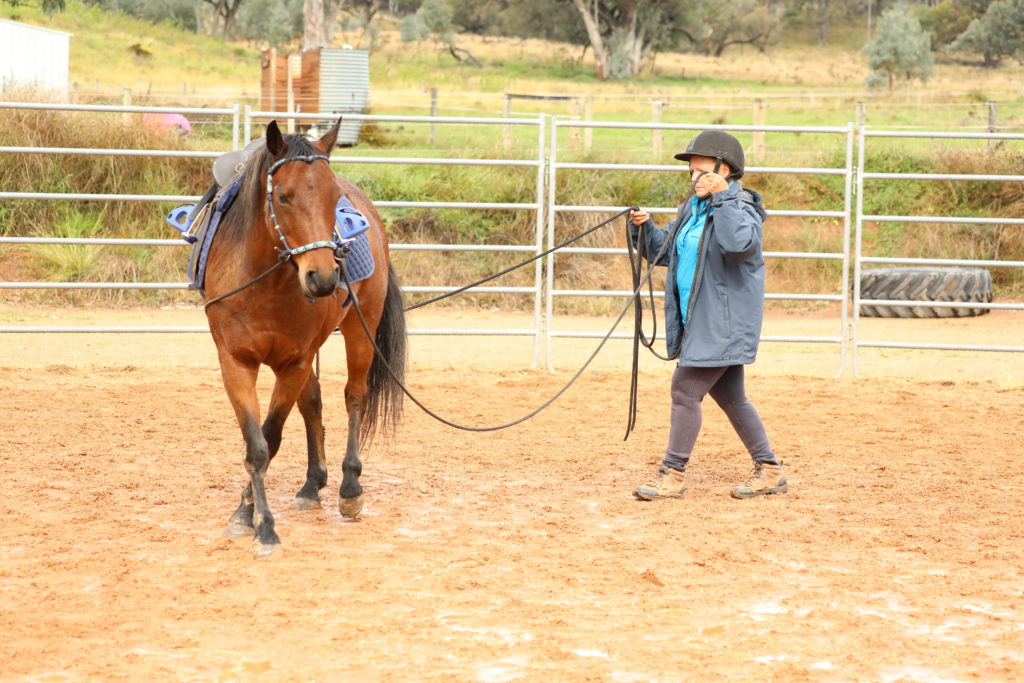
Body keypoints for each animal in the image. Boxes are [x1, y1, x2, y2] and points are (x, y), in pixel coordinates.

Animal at [203, 119, 406, 558]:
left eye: (332, 198)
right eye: (283, 196)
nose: (324, 276)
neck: (264, 285)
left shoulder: (292, 363)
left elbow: (271, 438)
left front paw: (262, 525)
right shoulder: (235, 363)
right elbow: (256, 445)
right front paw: (247, 517)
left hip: (360, 329)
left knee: (354, 397)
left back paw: (349, 487)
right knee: (313, 402)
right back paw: (313, 484)